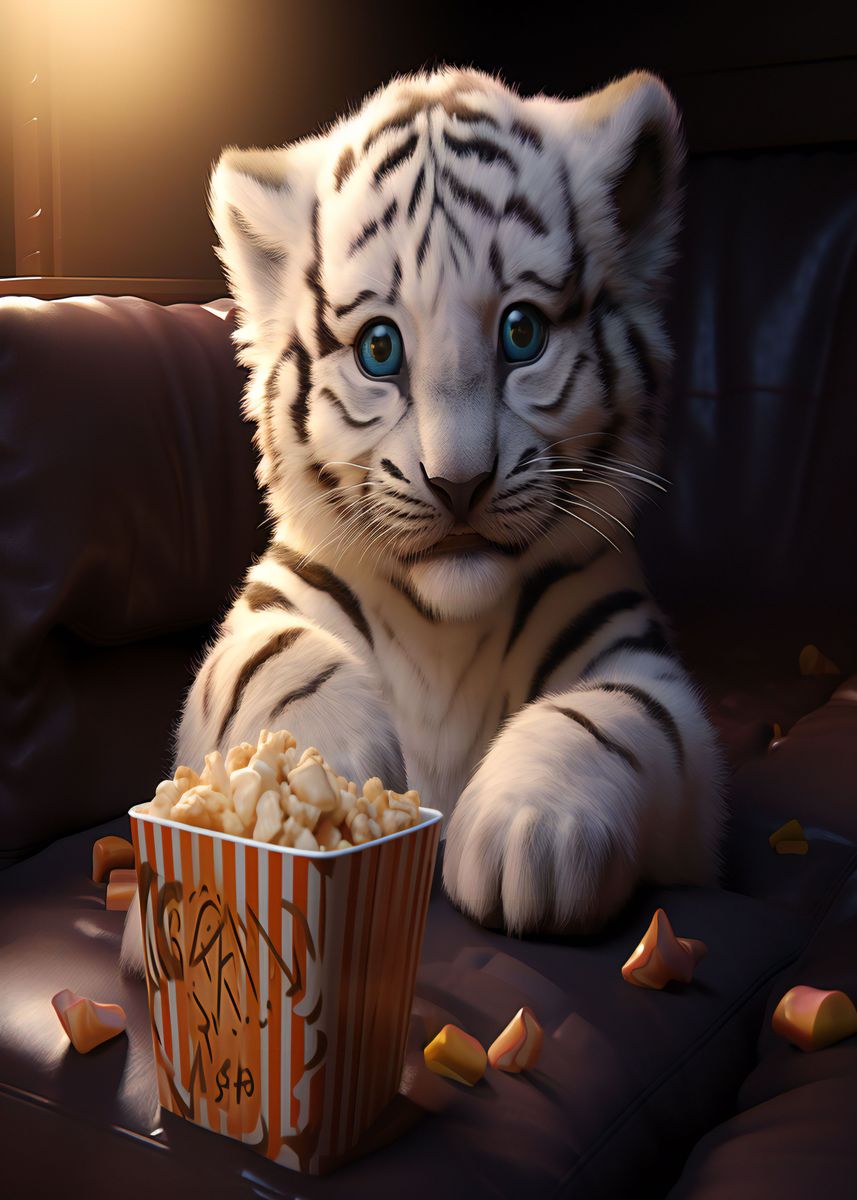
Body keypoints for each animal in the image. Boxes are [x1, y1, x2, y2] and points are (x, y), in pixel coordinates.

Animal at [122, 63, 726, 975]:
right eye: (379, 349)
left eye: (522, 333)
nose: (458, 482)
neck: (447, 619)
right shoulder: (262, 620)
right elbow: (272, 660)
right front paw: (326, 765)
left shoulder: (646, 676)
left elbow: (610, 716)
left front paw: (530, 832)